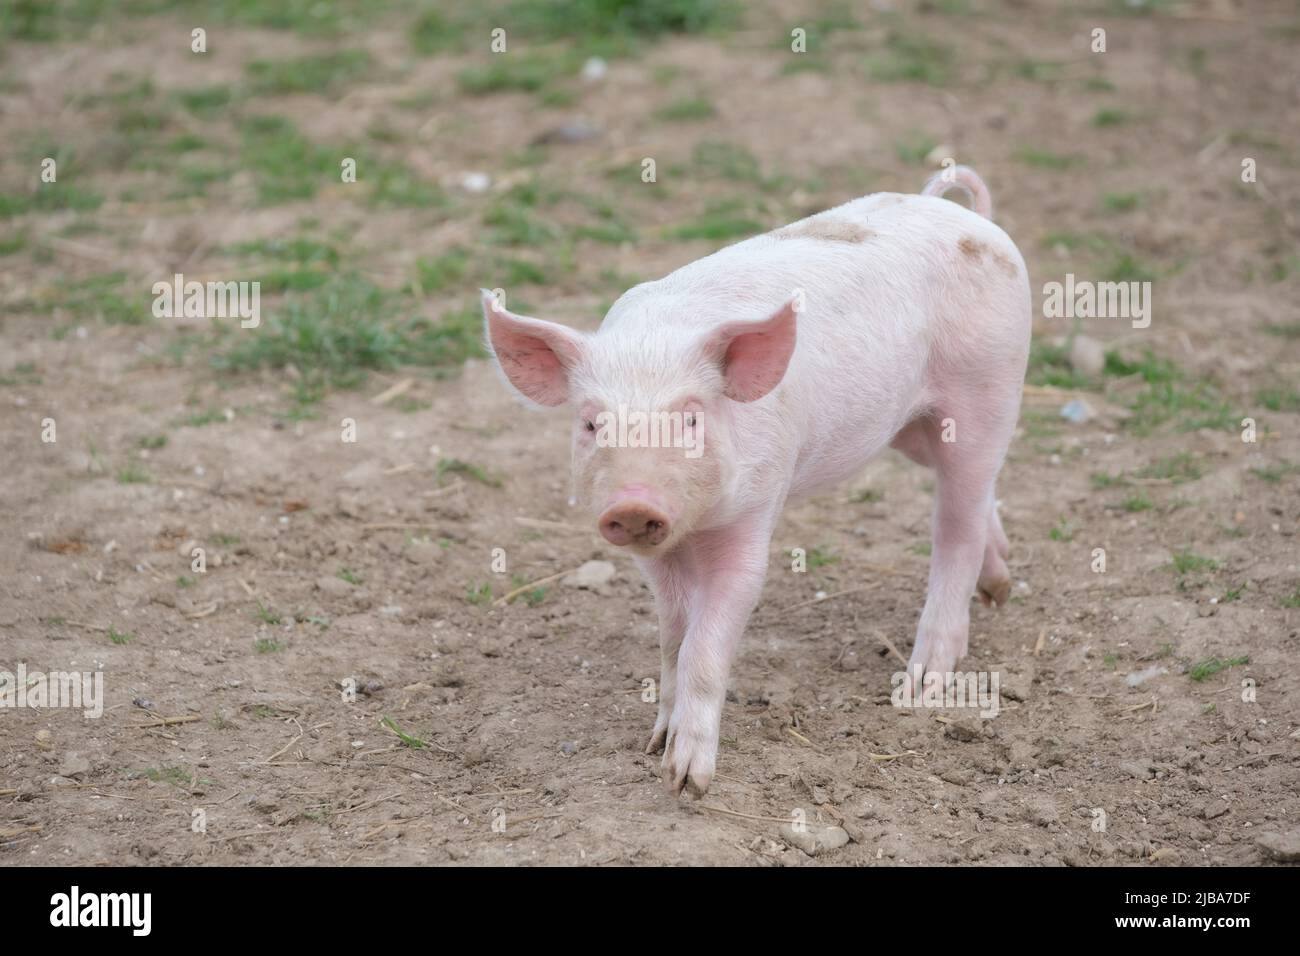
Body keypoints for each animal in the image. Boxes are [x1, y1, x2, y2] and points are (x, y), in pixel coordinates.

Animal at [482, 166, 1030, 796]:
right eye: (592, 423)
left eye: (692, 418)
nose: (633, 505)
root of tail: (971, 219)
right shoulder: (655, 558)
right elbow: (673, 637)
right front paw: (653, 745)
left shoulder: (755, 511)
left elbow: (708, 639)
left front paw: (687, 781)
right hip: (907, 427)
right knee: (979, 493)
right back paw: (998, 588)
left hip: (986, 388)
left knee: (957, 519)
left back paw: (925, 681)